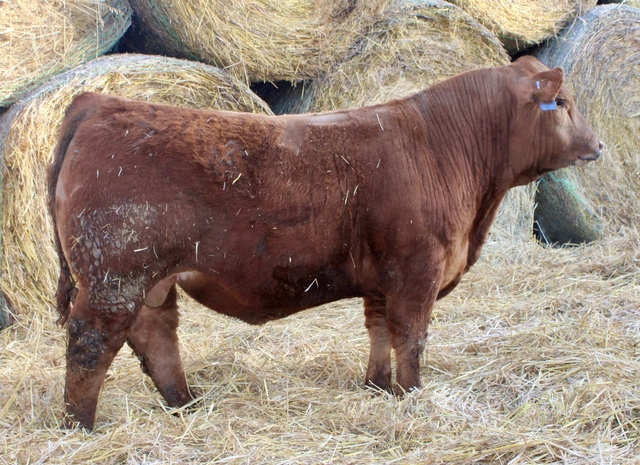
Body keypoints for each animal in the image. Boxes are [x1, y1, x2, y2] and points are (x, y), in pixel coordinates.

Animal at [48, 56, 601, 430]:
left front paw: (378, 388)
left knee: (155, 337)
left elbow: (379, 332)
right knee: (90, 345)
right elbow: (411, 337)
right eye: (563, 103)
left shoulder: (382, 278)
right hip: (113, 276)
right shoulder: (416, 270)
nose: (598, 144)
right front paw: (412, 395)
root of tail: (100, 102)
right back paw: (80, 427)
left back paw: (186, 403)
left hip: (152, 281)